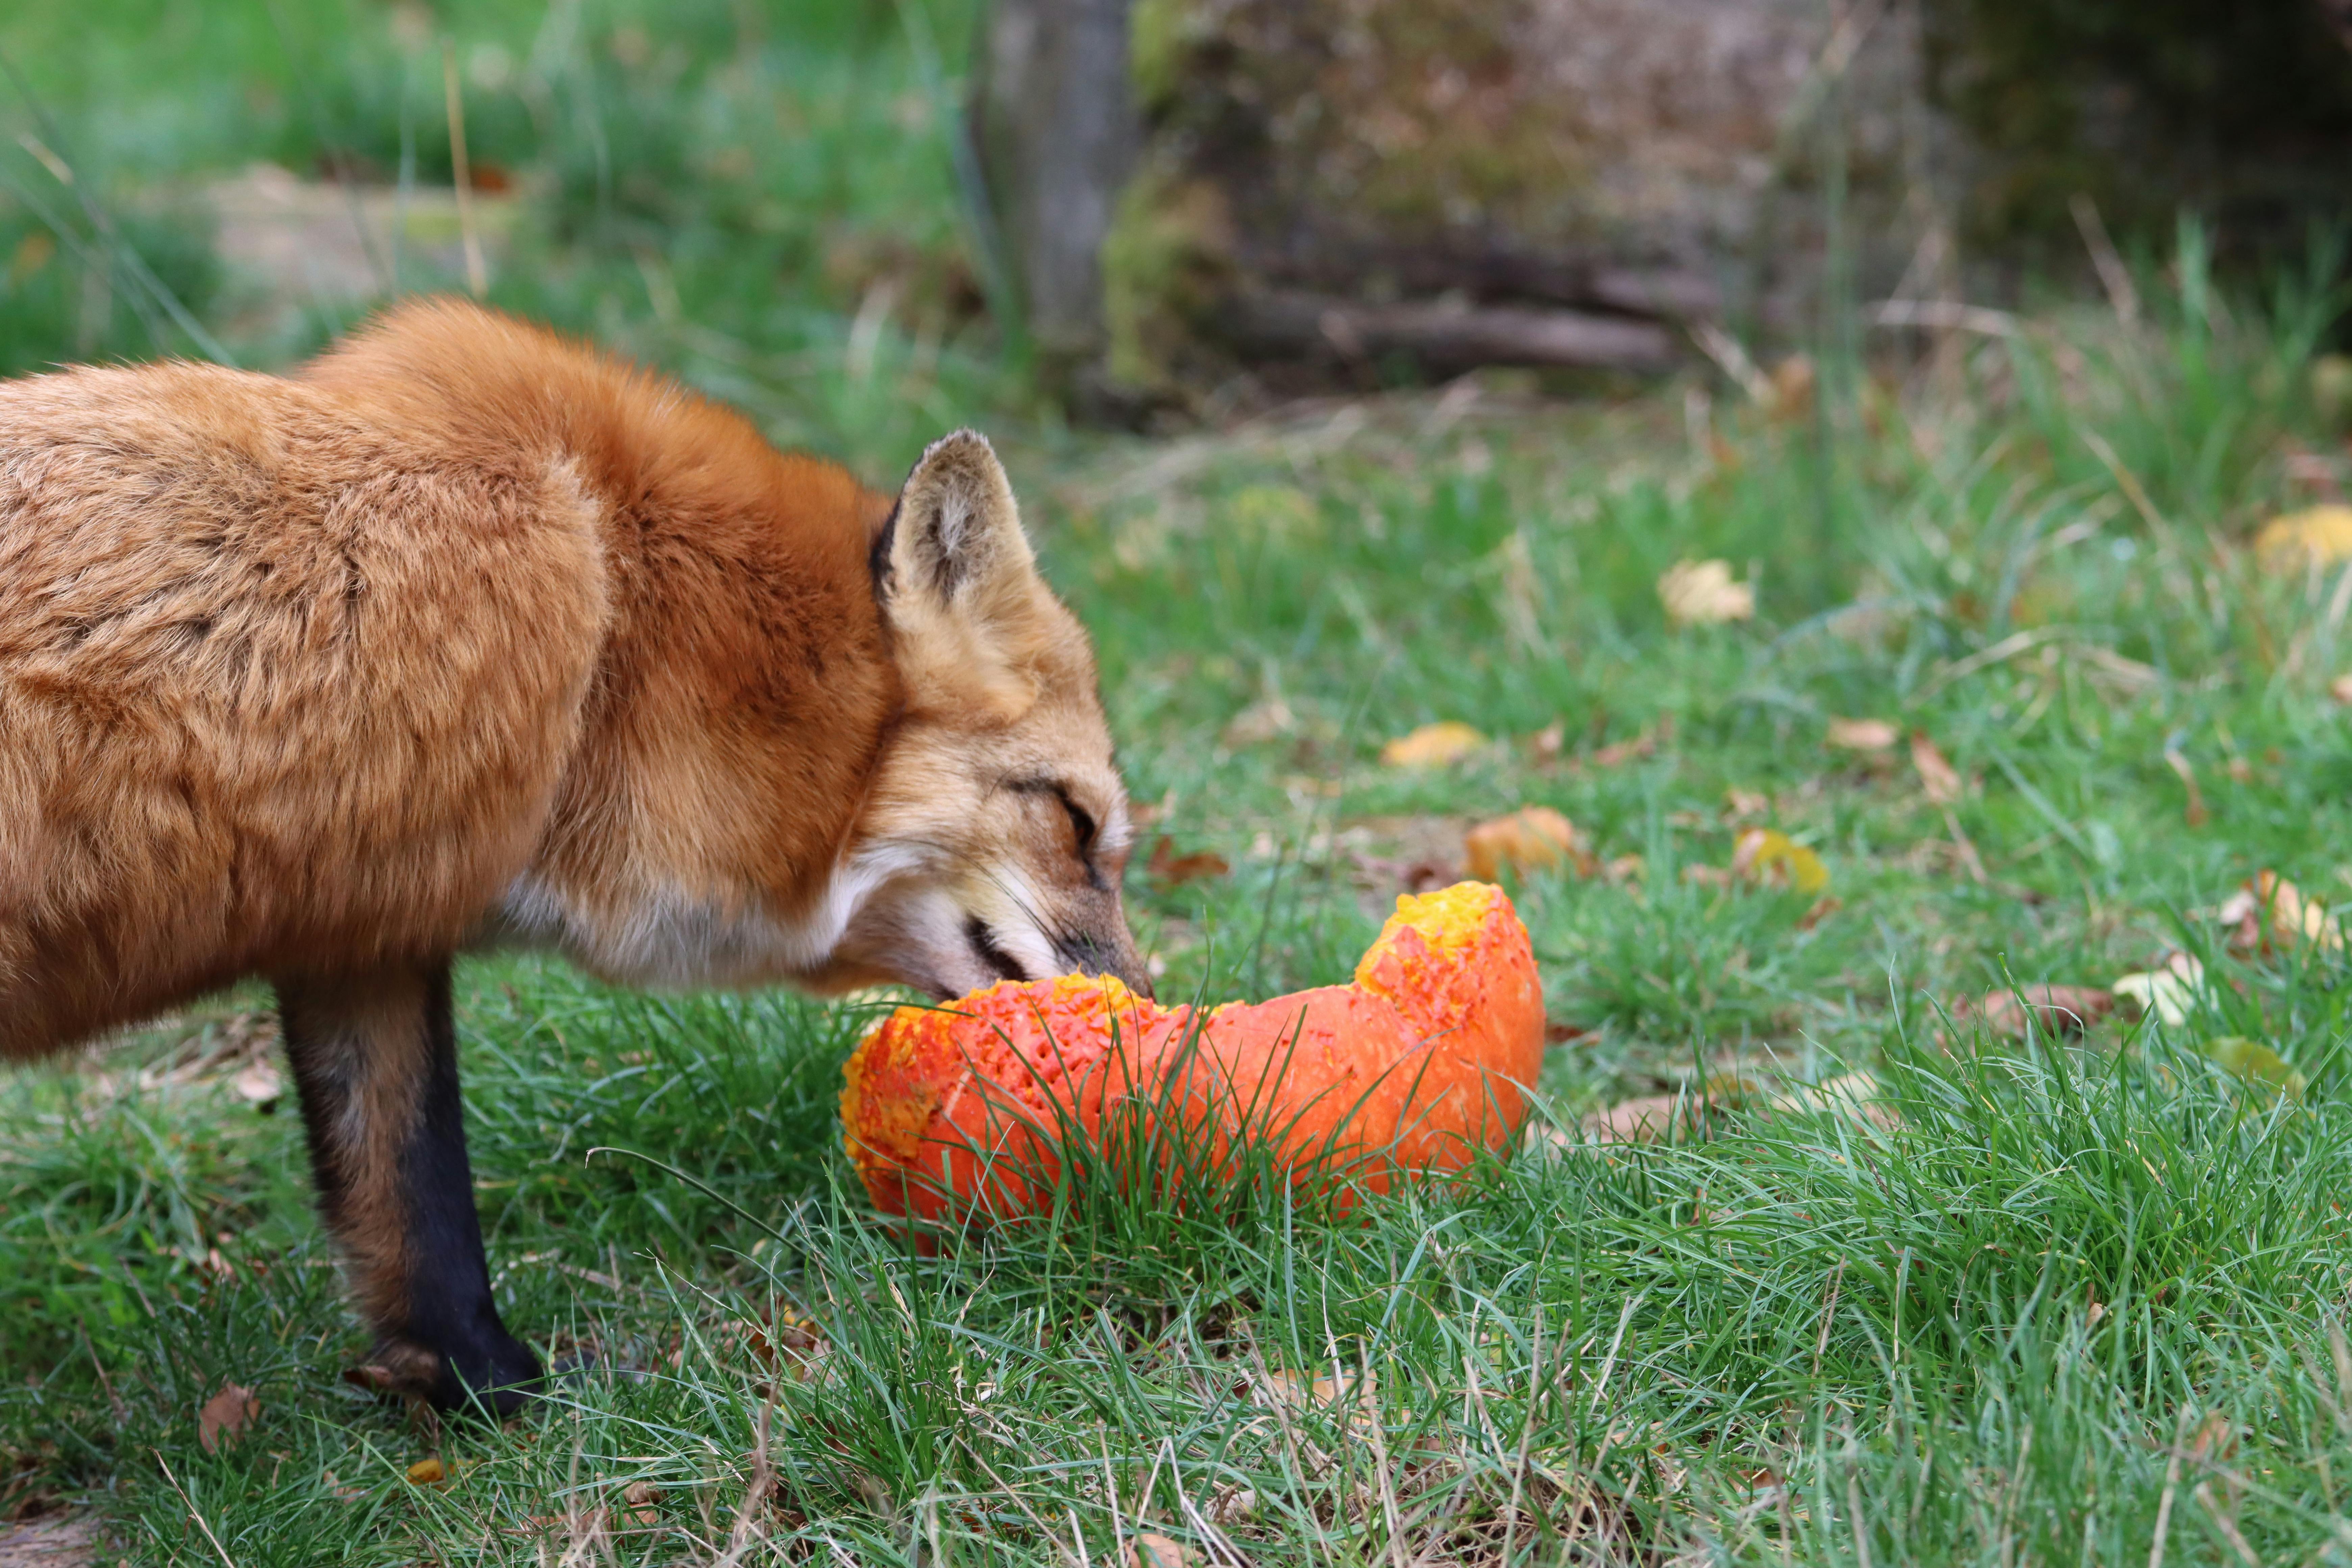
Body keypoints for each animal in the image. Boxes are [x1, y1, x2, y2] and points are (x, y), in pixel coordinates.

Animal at [0, 297, 1150, 1413]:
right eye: (1078, 823)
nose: (1149, 1019)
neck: (619, 629)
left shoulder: (358, 919)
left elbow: (410, 1194)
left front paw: (477, 1389)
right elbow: (427, 1178)